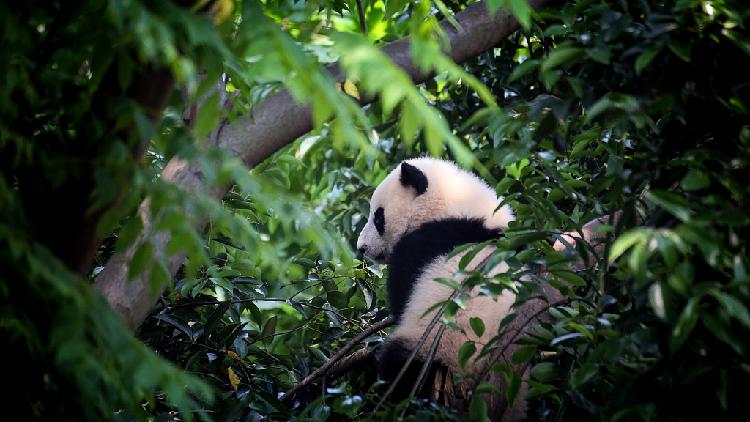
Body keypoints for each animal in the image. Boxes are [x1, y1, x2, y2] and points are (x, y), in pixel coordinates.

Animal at [356, 157, 524, 416]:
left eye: (378, 217)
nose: (362, 248)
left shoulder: (418, 248)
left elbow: (401, 296)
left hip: (435, 346)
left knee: (400, 369)